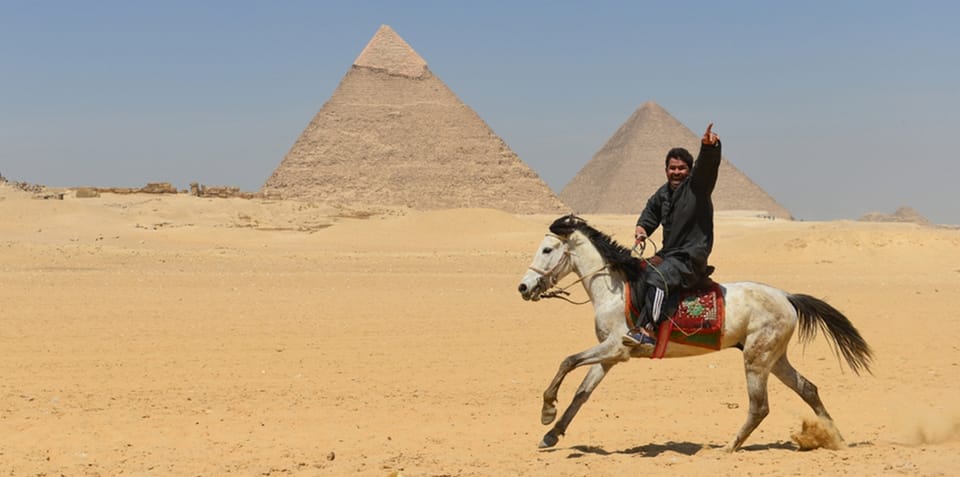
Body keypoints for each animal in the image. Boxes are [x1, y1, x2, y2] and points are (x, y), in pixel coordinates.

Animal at [517, 215, 872, 452]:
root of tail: (787, 297)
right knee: (808, 389)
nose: (523, 287)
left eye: (547, 250)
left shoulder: (616, 347)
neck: (615, 288)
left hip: (756, 359)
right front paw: (552, 433)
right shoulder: (611, 355)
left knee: (760, 406)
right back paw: (836, 438)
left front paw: (547, 411)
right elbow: (582, 392)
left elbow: (567, 361)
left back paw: (728, 447)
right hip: (774, 357)